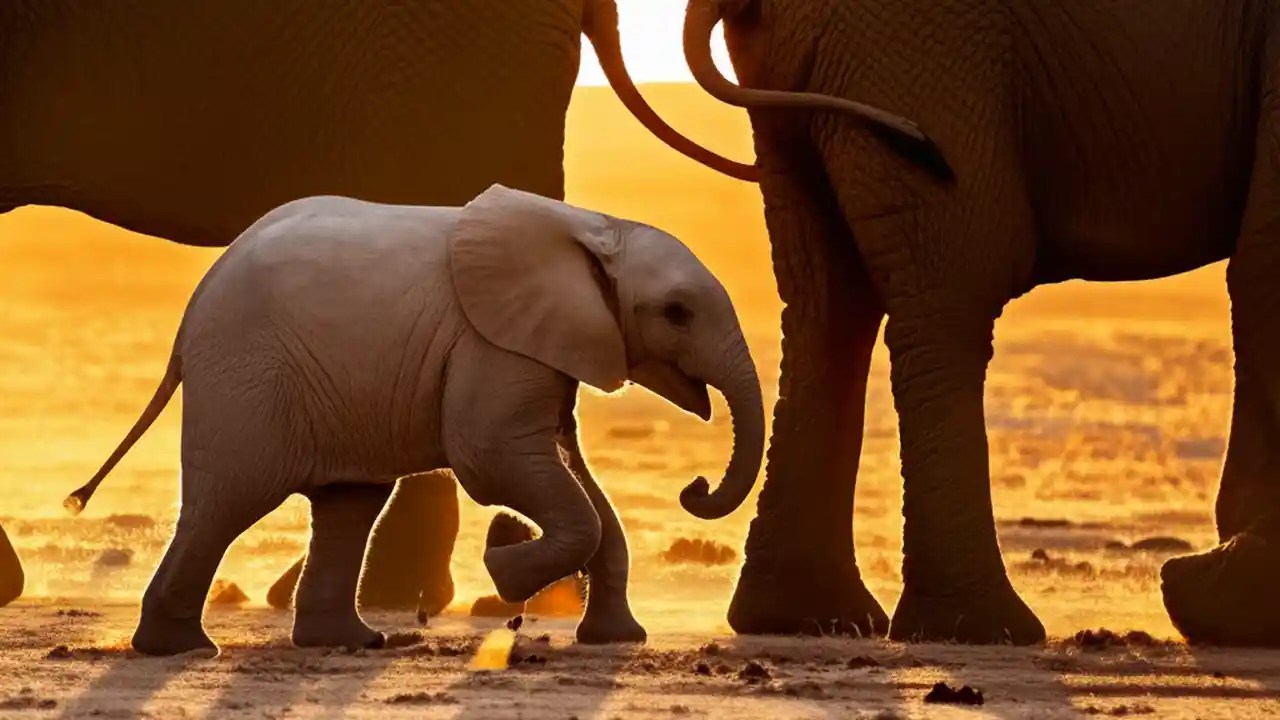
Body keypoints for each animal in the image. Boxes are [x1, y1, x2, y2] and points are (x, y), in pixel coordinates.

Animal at [64, 185, 765, 656]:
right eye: (677, 313)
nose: (696, 487)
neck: (598, 227)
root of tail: (193, 309)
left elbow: (575, 477)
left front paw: (616, 637)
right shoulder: (494, 346)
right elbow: (493, 462)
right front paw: (505, 571)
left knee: (349, 504)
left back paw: (349, 642)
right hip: (246, 378)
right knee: (228, 503)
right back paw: (180, 649)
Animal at [607, 0, 1280, 646]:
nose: (695, 487)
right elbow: (1264, 263)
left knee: (828, 293)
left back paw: (807, 621)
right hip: (921, 49)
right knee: (953, 281)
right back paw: (980, 631)